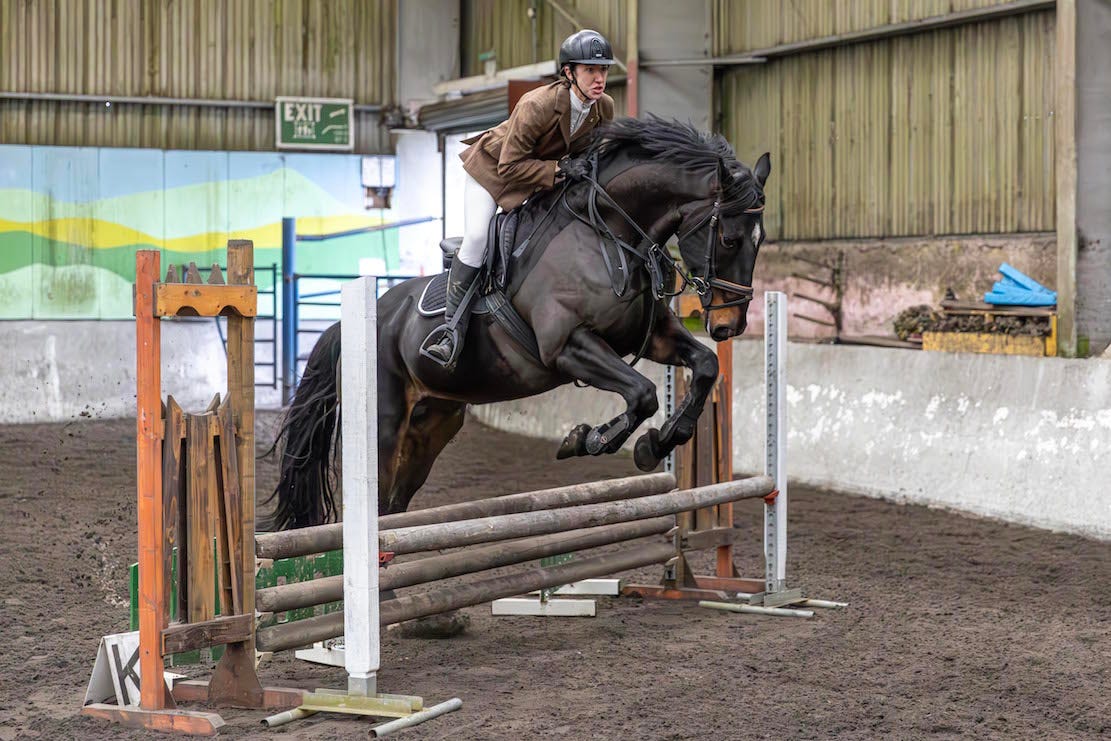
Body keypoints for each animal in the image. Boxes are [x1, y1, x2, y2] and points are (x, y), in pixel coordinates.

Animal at [264, 116, 771, 531]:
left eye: (760, 241)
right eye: (729, 239)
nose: (729, 325)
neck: (610, 235)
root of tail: (348, 326)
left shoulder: (650, 338)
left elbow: (705, 366)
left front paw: (661, 441)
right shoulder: (567, 346)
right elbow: (643, 393)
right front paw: (587, 439)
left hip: (431, 427)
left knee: (391, 513)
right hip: (384, 426)